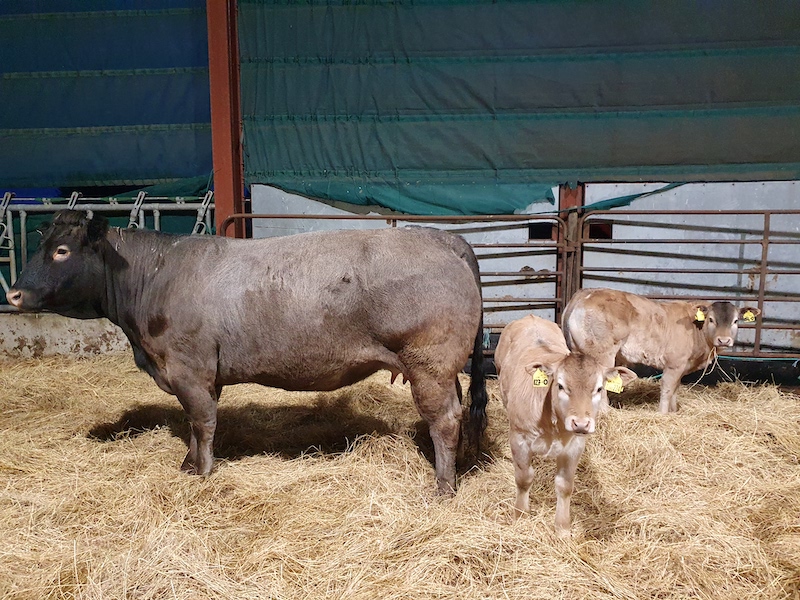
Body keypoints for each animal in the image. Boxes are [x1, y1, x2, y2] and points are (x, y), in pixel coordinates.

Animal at [6, 210, 489, 495]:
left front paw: (202, 473)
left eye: (61, 251)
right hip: (444, 368)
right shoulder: (202, 373)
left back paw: (443, 486)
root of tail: (444, 239)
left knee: (445, 419)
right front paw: (188, 464)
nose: (13, 294)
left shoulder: (189, 367)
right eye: (41, 245)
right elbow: (194, 422)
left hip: (429, 362)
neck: (156, 274)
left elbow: (202, 421)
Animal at [495, 314, 637, 535]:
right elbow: (523, 478)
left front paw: (562, 529)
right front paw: (520, 516)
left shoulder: (574, 446)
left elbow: (565, 485)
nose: (581, 423)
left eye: (599, 388)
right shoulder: (519, 438)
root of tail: (530, 316)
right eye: (560, 385)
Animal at [562, 288, 761, 414]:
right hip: (602, 353)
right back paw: (605, 411)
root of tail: (585, 294)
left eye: (735, 321)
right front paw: (663, 413)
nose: (724, 340)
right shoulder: (674, 363)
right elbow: (667, 388)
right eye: (711, 319)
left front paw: (674, 412)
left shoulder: (682, 366)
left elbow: (675, 389)